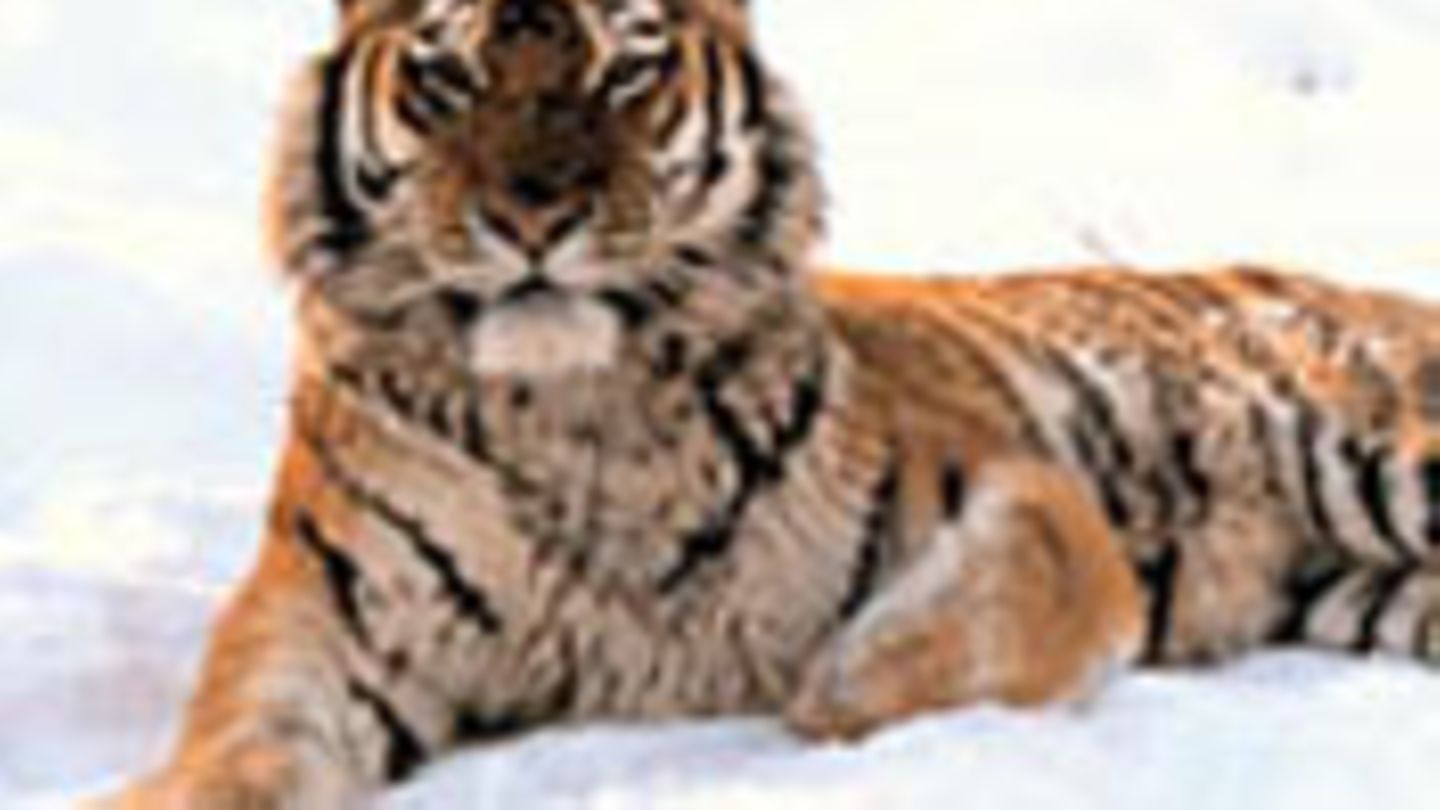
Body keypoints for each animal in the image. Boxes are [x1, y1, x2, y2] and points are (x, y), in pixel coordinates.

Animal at [107, 0, 1440, 807]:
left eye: (625, 67)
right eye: (449, 73)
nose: (536, 214)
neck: (573, 413)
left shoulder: (1031, 496)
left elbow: (968, 623)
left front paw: (824, 691)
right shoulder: (322, 619)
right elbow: (237, 748)